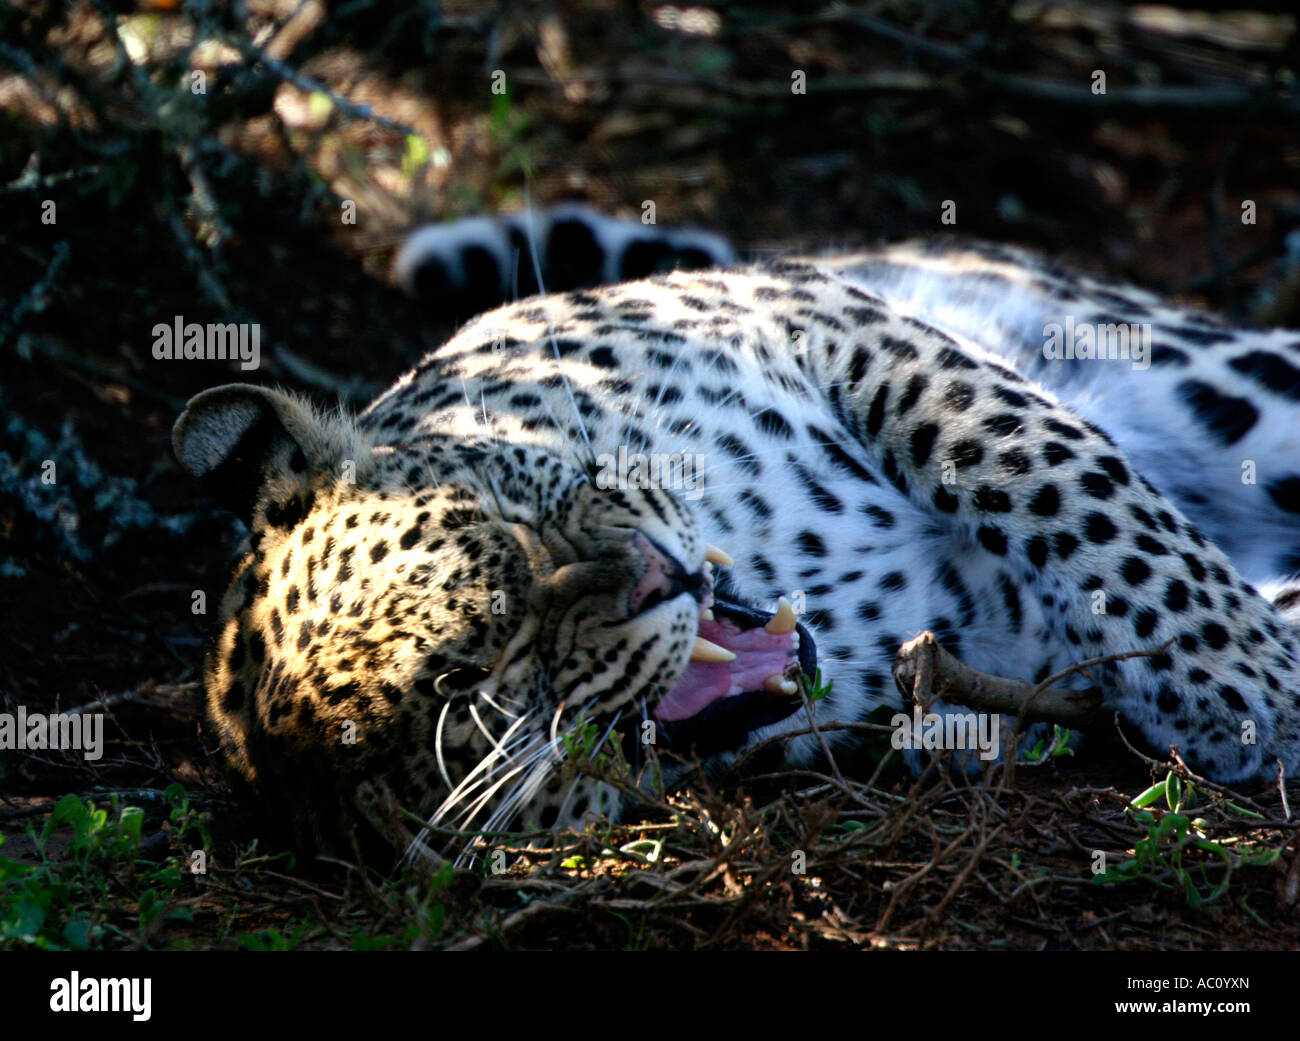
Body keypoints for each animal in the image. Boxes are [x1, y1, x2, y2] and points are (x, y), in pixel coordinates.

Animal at [173, 206, 1300, 864]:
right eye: (469, 686)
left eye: (512, 499)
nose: (652, 580)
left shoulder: (845, 330)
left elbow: (1065, 486)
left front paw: (1252, 688)